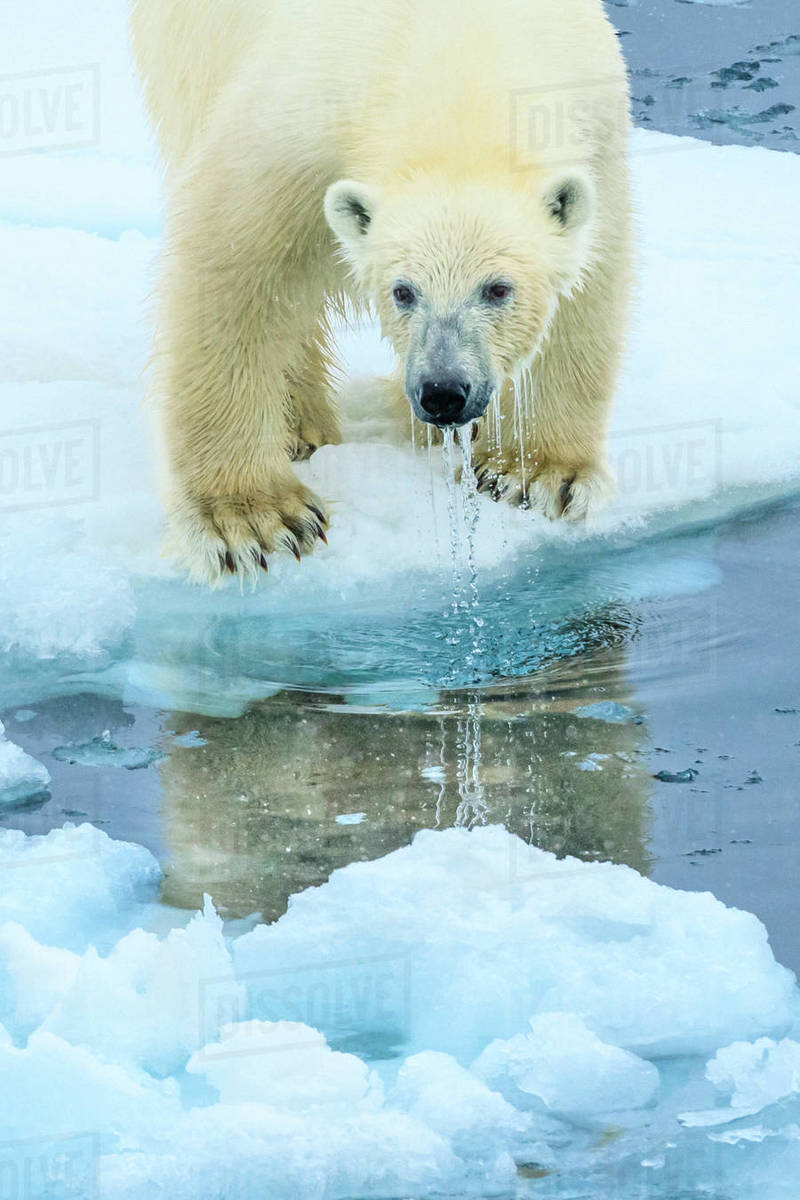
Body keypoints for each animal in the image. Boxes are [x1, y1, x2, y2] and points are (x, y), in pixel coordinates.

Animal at [130, 0, 632, 584]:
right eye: (403, 291)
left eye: (498, 289)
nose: (443, 392)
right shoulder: (298, 118)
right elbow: (234, 268)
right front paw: (253, 520)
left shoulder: (593, 120)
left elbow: (590, 285)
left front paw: (539, 475)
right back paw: (298, 427)